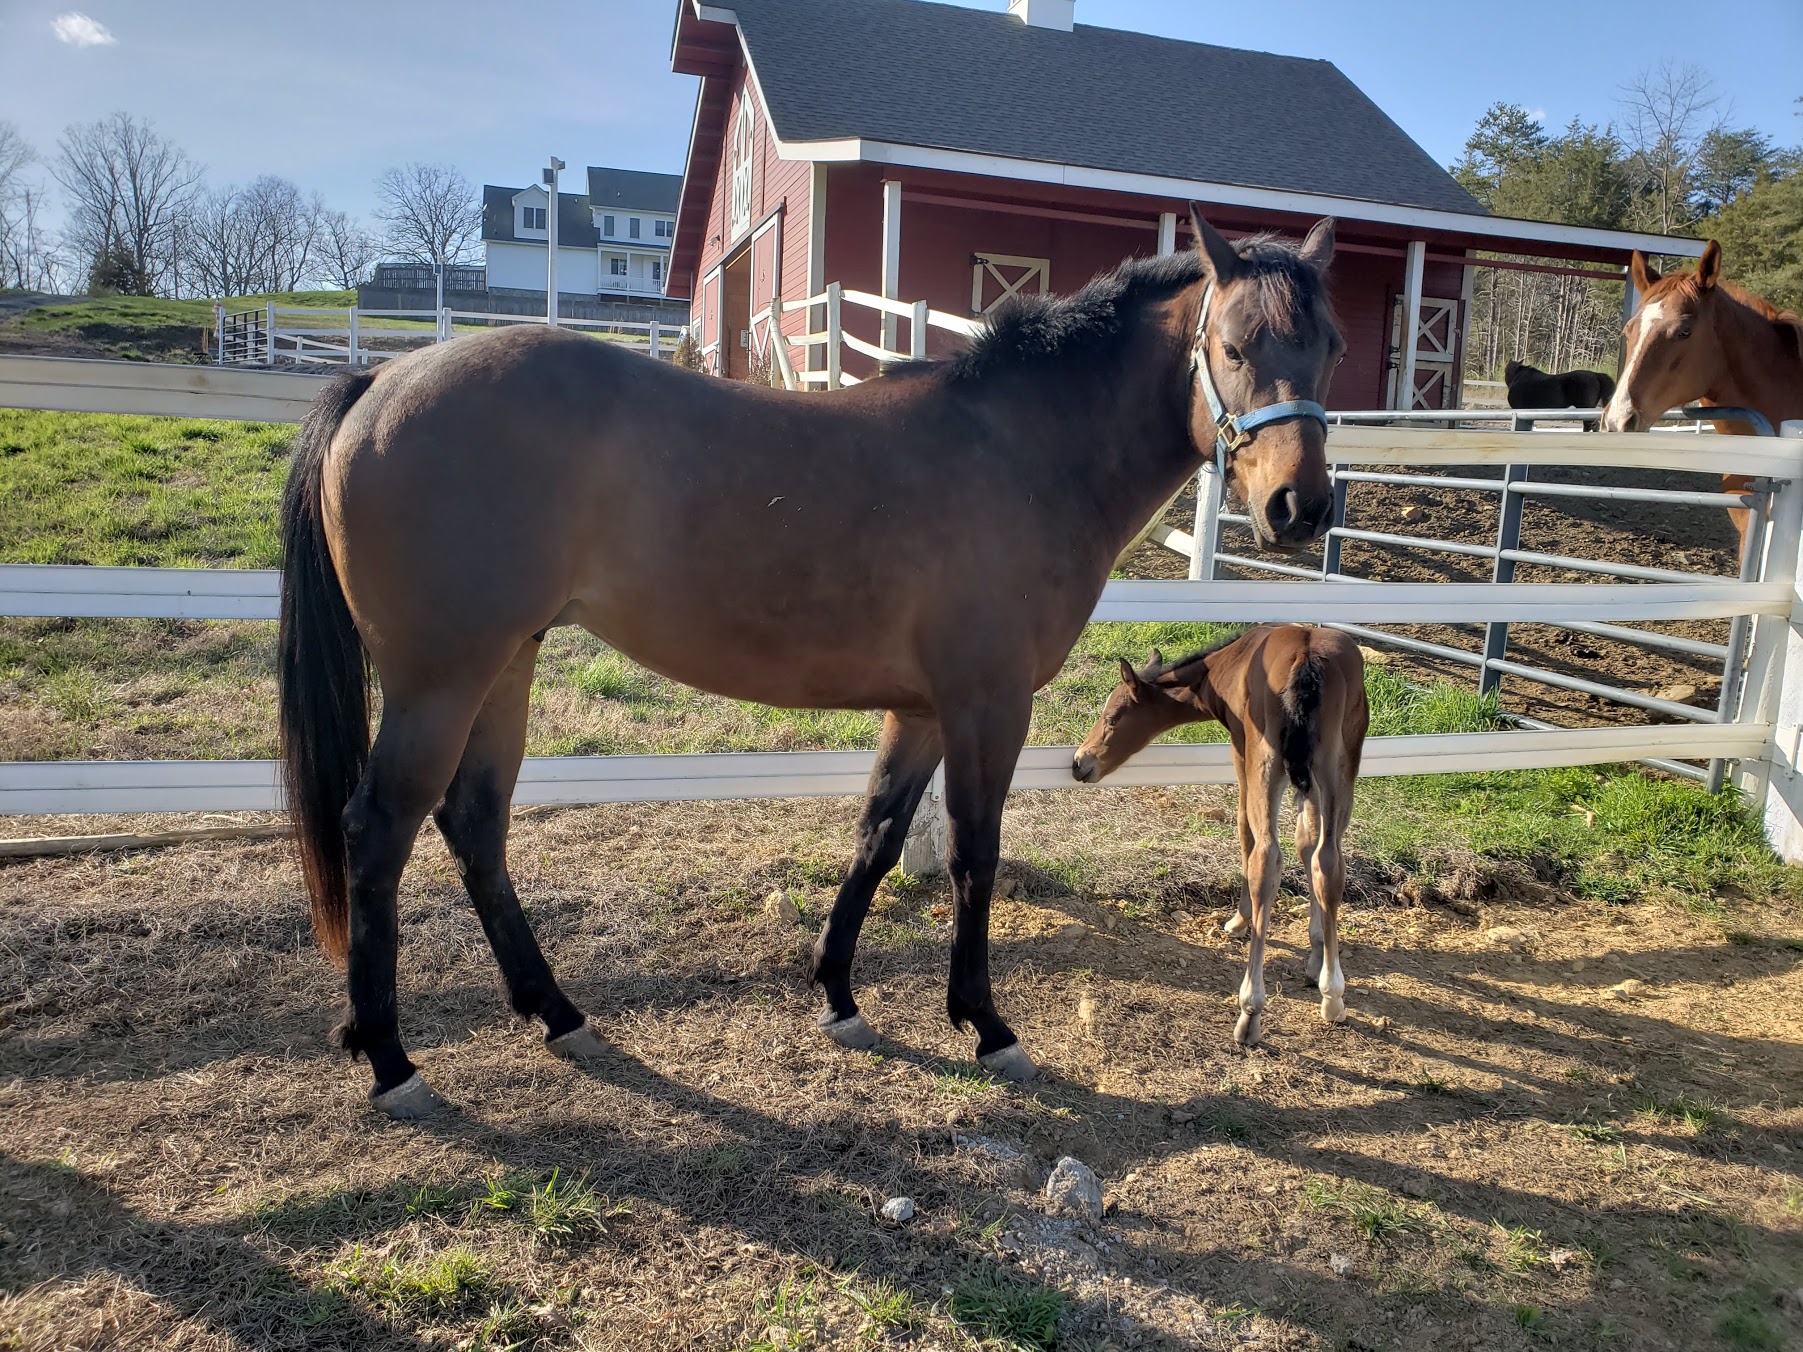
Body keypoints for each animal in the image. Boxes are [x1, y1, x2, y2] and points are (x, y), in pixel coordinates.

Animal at [1071, 625, 1368, 1046]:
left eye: (1111, 717)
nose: (1080, 763)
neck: (1226, 665)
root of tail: (1306, 661)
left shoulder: (1240, 747)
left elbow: (1245, 829)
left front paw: (1240, 920)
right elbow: (1307, 841)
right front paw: (1315, 953)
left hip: (1269, 761)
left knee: (1267, 858)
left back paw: (1250, 1009)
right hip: (1340, 763)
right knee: (1330, 859)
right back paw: (1334, 996)